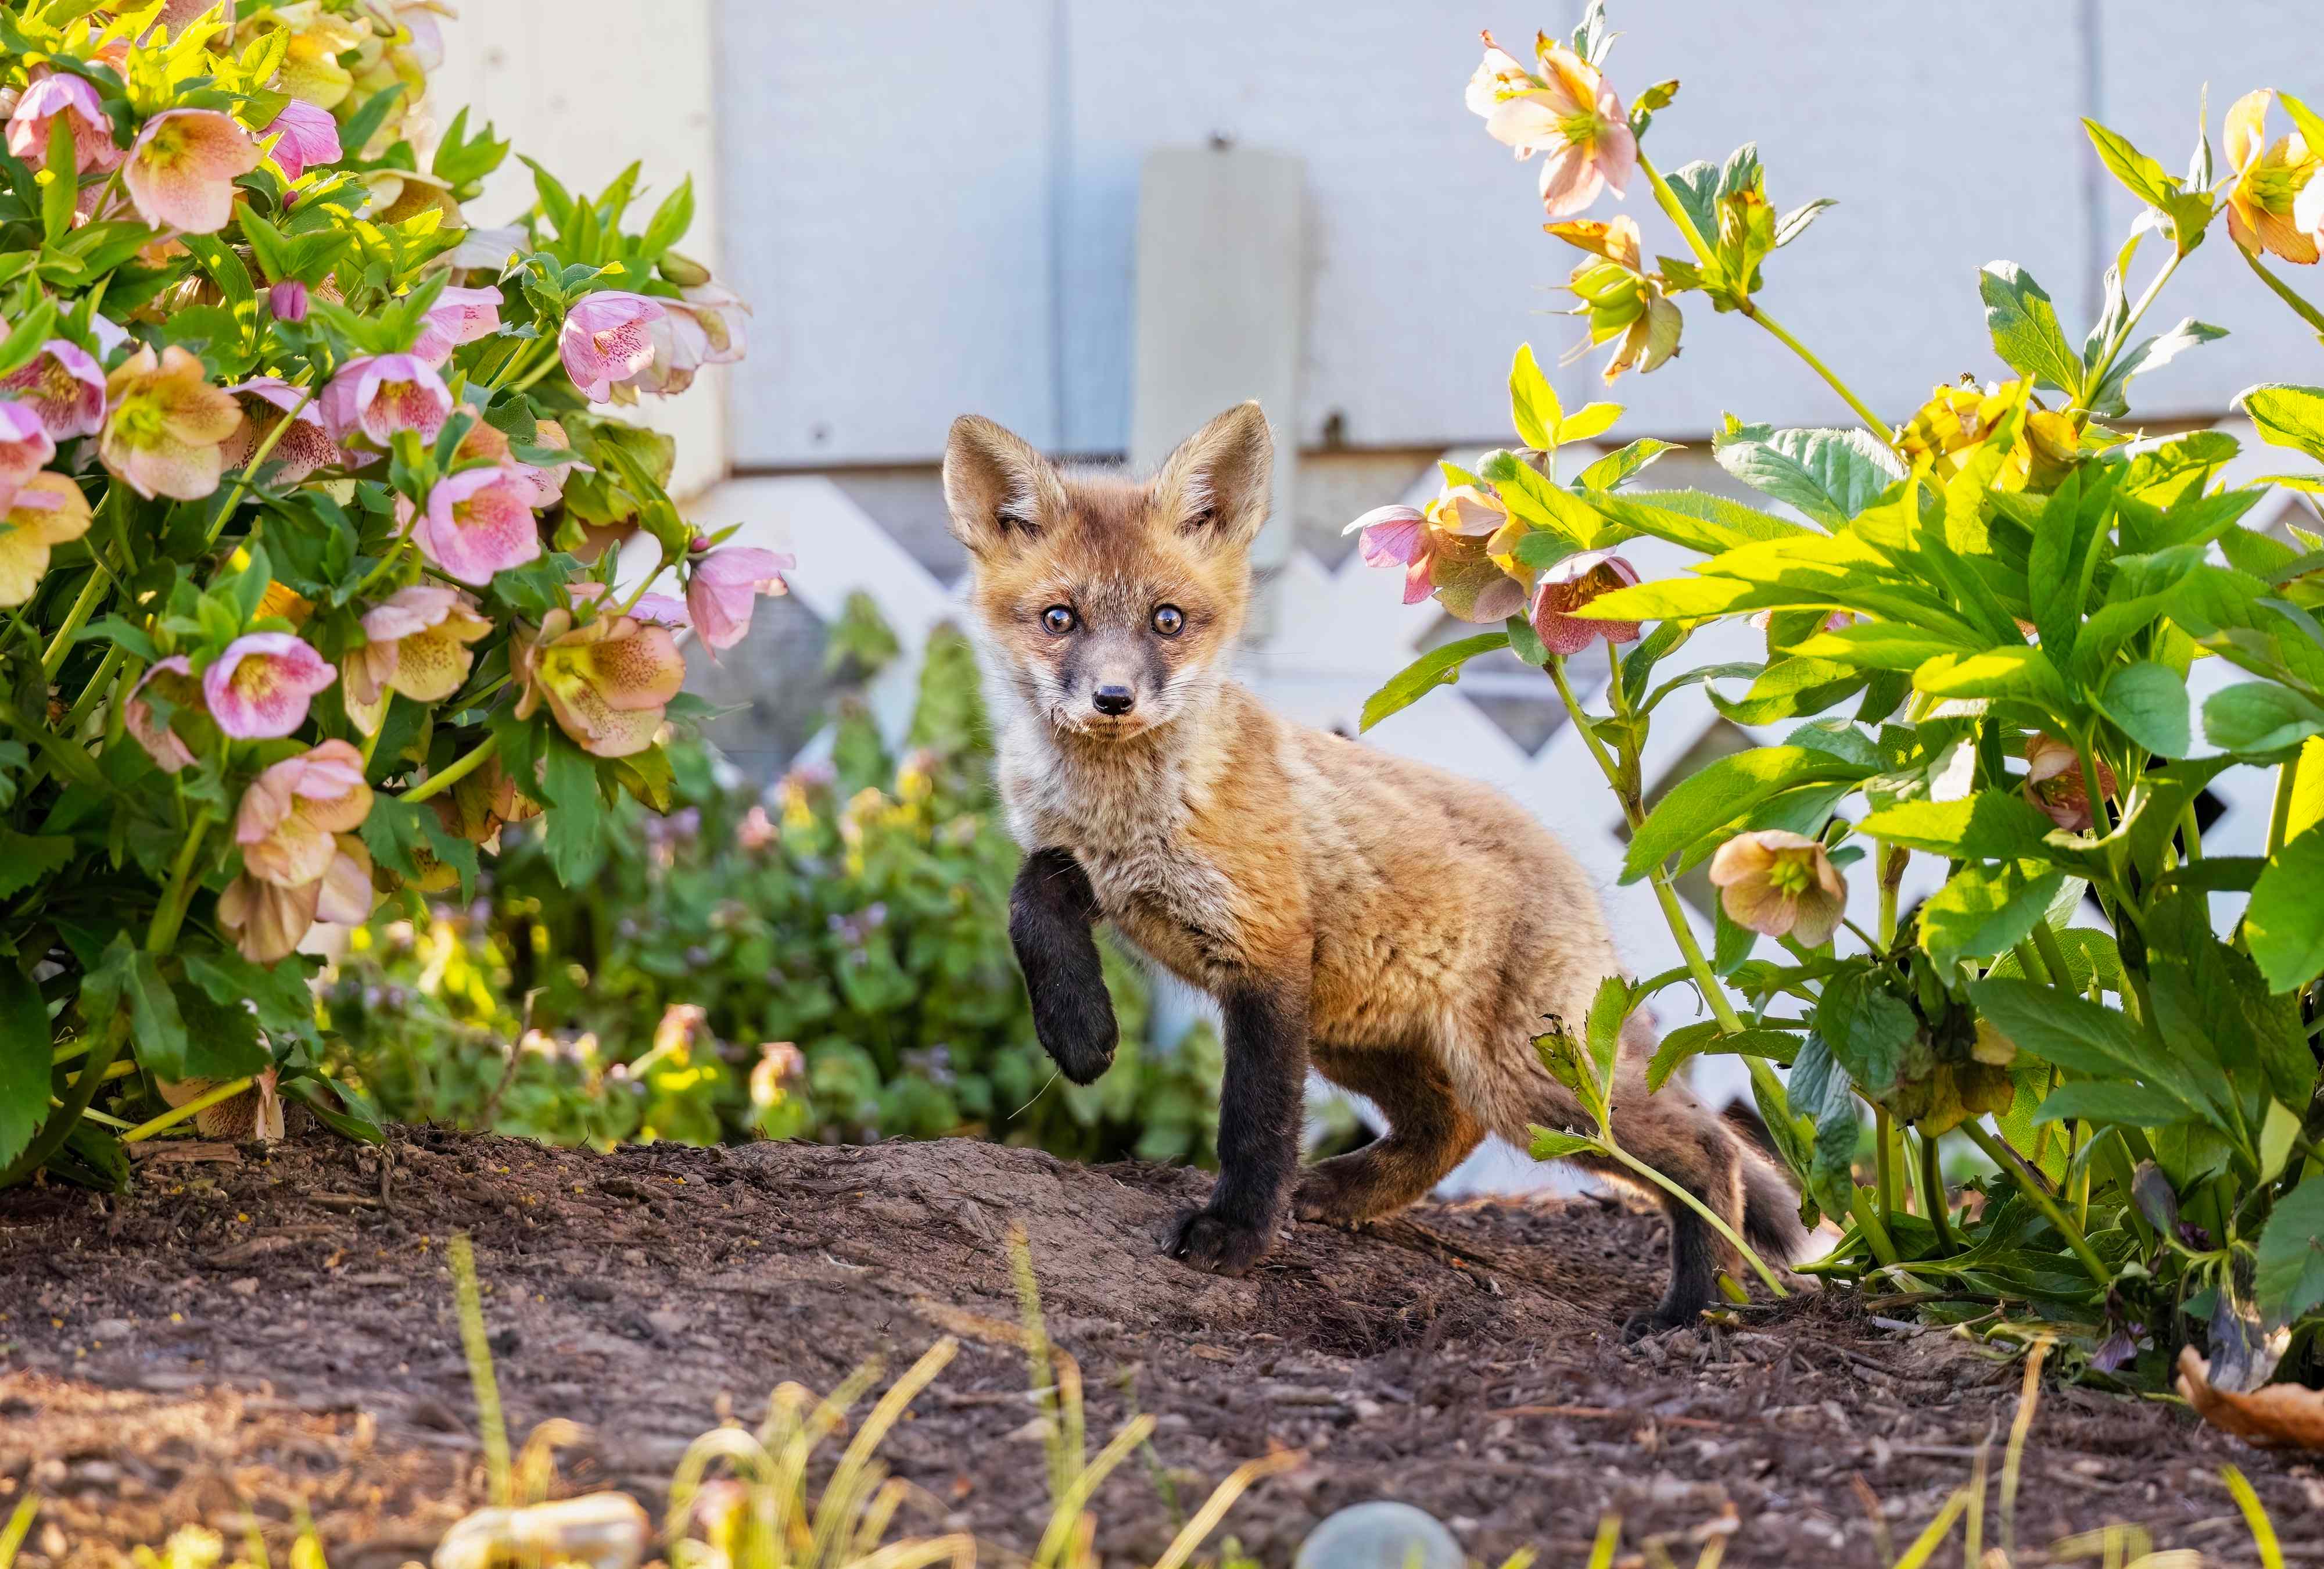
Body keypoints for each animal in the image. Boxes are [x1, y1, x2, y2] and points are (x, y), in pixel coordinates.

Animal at [943, 400, 1804, 1332]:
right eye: (1059, 619)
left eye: (1166, 621)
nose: (1113, 700)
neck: (1126, 815)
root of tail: (1574, 869)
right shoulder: (1102, 879)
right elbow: (1030, 897)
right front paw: (1081, 1032)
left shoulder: (1266, 955)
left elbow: (1254, 1121)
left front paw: (1235, 1232)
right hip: (1361, 1039)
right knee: (1447, 1128)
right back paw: (1349, 1193)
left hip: (1527, 1082)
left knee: (1706, 1147)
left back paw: (1694, 1305)